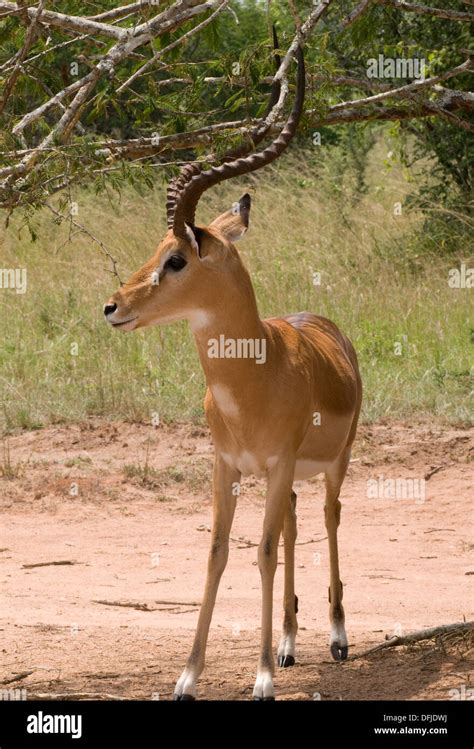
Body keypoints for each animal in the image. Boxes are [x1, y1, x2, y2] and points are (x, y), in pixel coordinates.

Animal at [104, 44, 362, 700]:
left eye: (177, 258)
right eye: (155, 247)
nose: (112, 307)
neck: (251, 381)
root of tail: (328, 327)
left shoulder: (275, 463)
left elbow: (262, 552)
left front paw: (262, 678)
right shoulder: (228, 466)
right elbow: (219, 552)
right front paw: (187, 676)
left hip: (334, 462)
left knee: (327, 517)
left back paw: (336, 637)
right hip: (285, 476)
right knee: (295, 522)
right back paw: (292, 643)